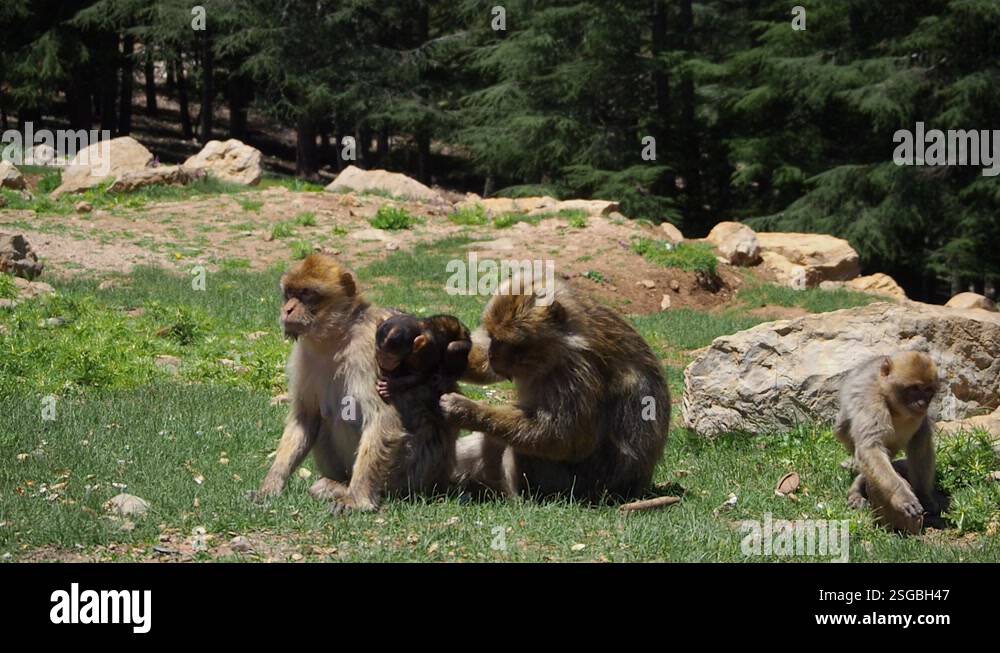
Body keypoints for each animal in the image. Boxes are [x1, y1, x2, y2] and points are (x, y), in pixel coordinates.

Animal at [253, 254, 457, 514]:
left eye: (307, 293)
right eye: (289, 293)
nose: (287, 309)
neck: (338, 335)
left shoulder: (370, 348)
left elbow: (383, 418)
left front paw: (356, 499)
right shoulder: (305, 355)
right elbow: (306, 417)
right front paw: (269, 486)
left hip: (415, 470)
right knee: (325, 416)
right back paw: (336, 483)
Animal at [439, 277, 670, 502]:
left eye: (505, 342)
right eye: (493, 338)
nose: (492, 354)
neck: (559, 345)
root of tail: (635, 488)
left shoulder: (576, 371)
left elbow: (566, 437)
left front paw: (466, 410)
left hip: (576, 486)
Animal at [835, 351, 941, 532]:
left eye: (928, 390)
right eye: (914, 388)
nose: (922, 403)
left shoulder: (919, 416)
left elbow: (920, 443)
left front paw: (923, 495)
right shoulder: (872, 402)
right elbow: (870, 448)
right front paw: (902, 496)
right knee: (843, 431)